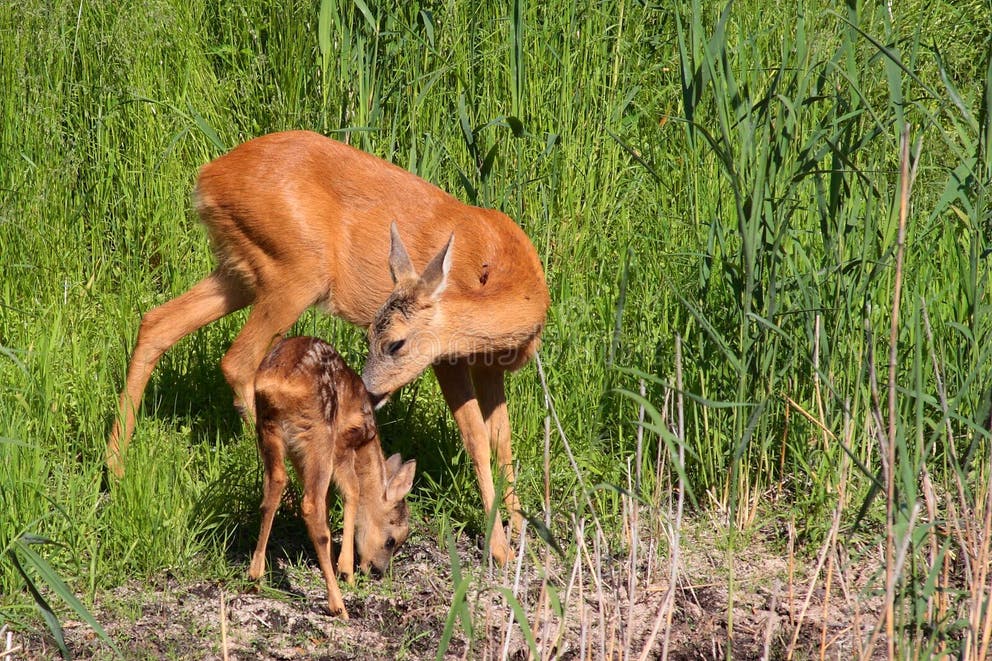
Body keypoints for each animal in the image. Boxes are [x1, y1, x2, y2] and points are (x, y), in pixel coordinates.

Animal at [107, 130, 550, 565]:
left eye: (393, 342)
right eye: (371, 335)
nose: (367, 390)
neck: (507, 277)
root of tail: (208, 177)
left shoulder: (491, 364)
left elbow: (502, 439)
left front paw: (524, 527)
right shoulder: (449, 360)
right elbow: (476, 440)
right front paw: (500, 549)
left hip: (240, 270)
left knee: (157, 322)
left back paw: (115, 466)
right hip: (296, 268)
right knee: (237, 360)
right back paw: (288, 495)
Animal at [249, 335, 416, 619]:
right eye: (391, 540)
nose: (378, 572)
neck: (367, 443)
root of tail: (277, 384)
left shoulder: (301, 456)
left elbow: (328, 499)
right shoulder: (344, 444)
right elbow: (353, 491)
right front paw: (346, 569)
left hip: (270, 430)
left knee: (275, 487)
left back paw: (255, 576)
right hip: (320, 433)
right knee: (310, 504)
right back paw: (338, 604)